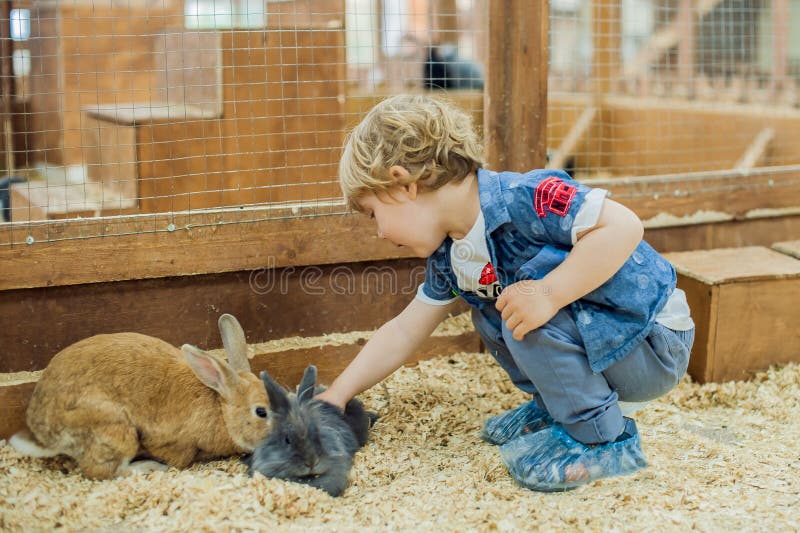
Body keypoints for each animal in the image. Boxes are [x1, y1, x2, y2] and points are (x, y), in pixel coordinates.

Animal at [9, 314, 271, 480]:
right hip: (115, 432)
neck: (220, 408)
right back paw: (148, 467)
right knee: (103, 471)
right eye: (261, 412)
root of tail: (44, 434)